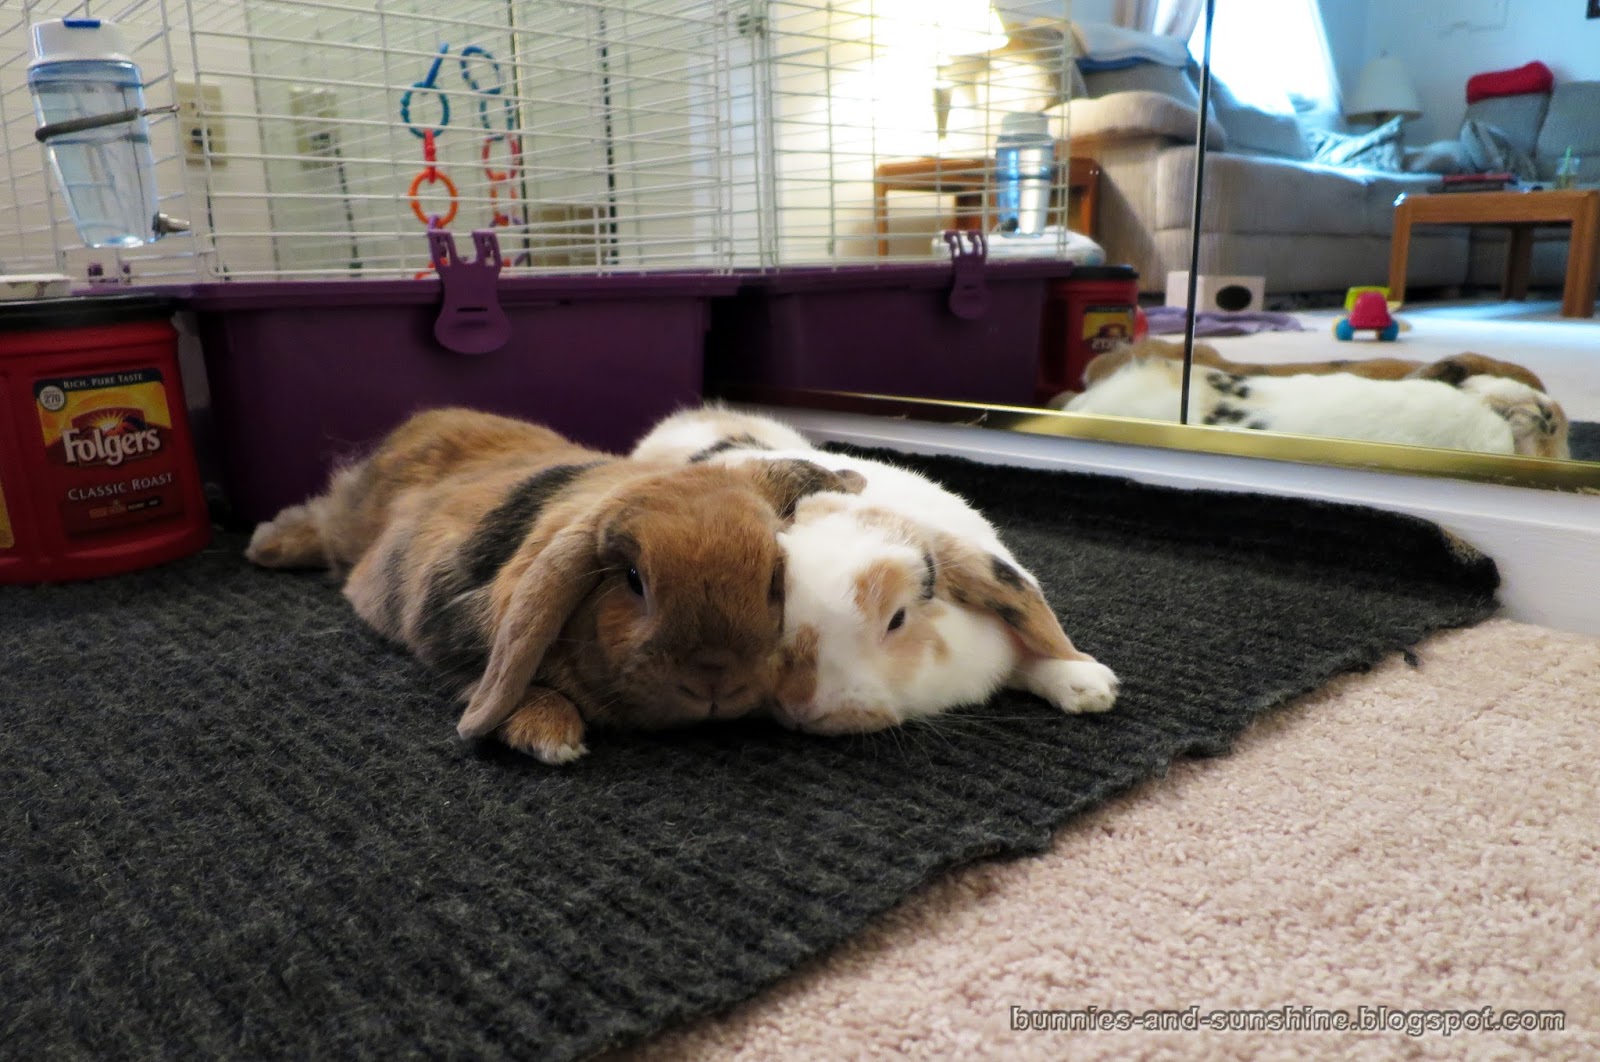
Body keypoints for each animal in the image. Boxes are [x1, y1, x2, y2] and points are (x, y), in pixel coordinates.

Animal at [246, 407, 863, 763]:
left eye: (774, 579)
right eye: (633, 581)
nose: (715, 681)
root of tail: (425, 417)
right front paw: (551, 736)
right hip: (349, 523)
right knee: (320, 519)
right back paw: (265, 546)